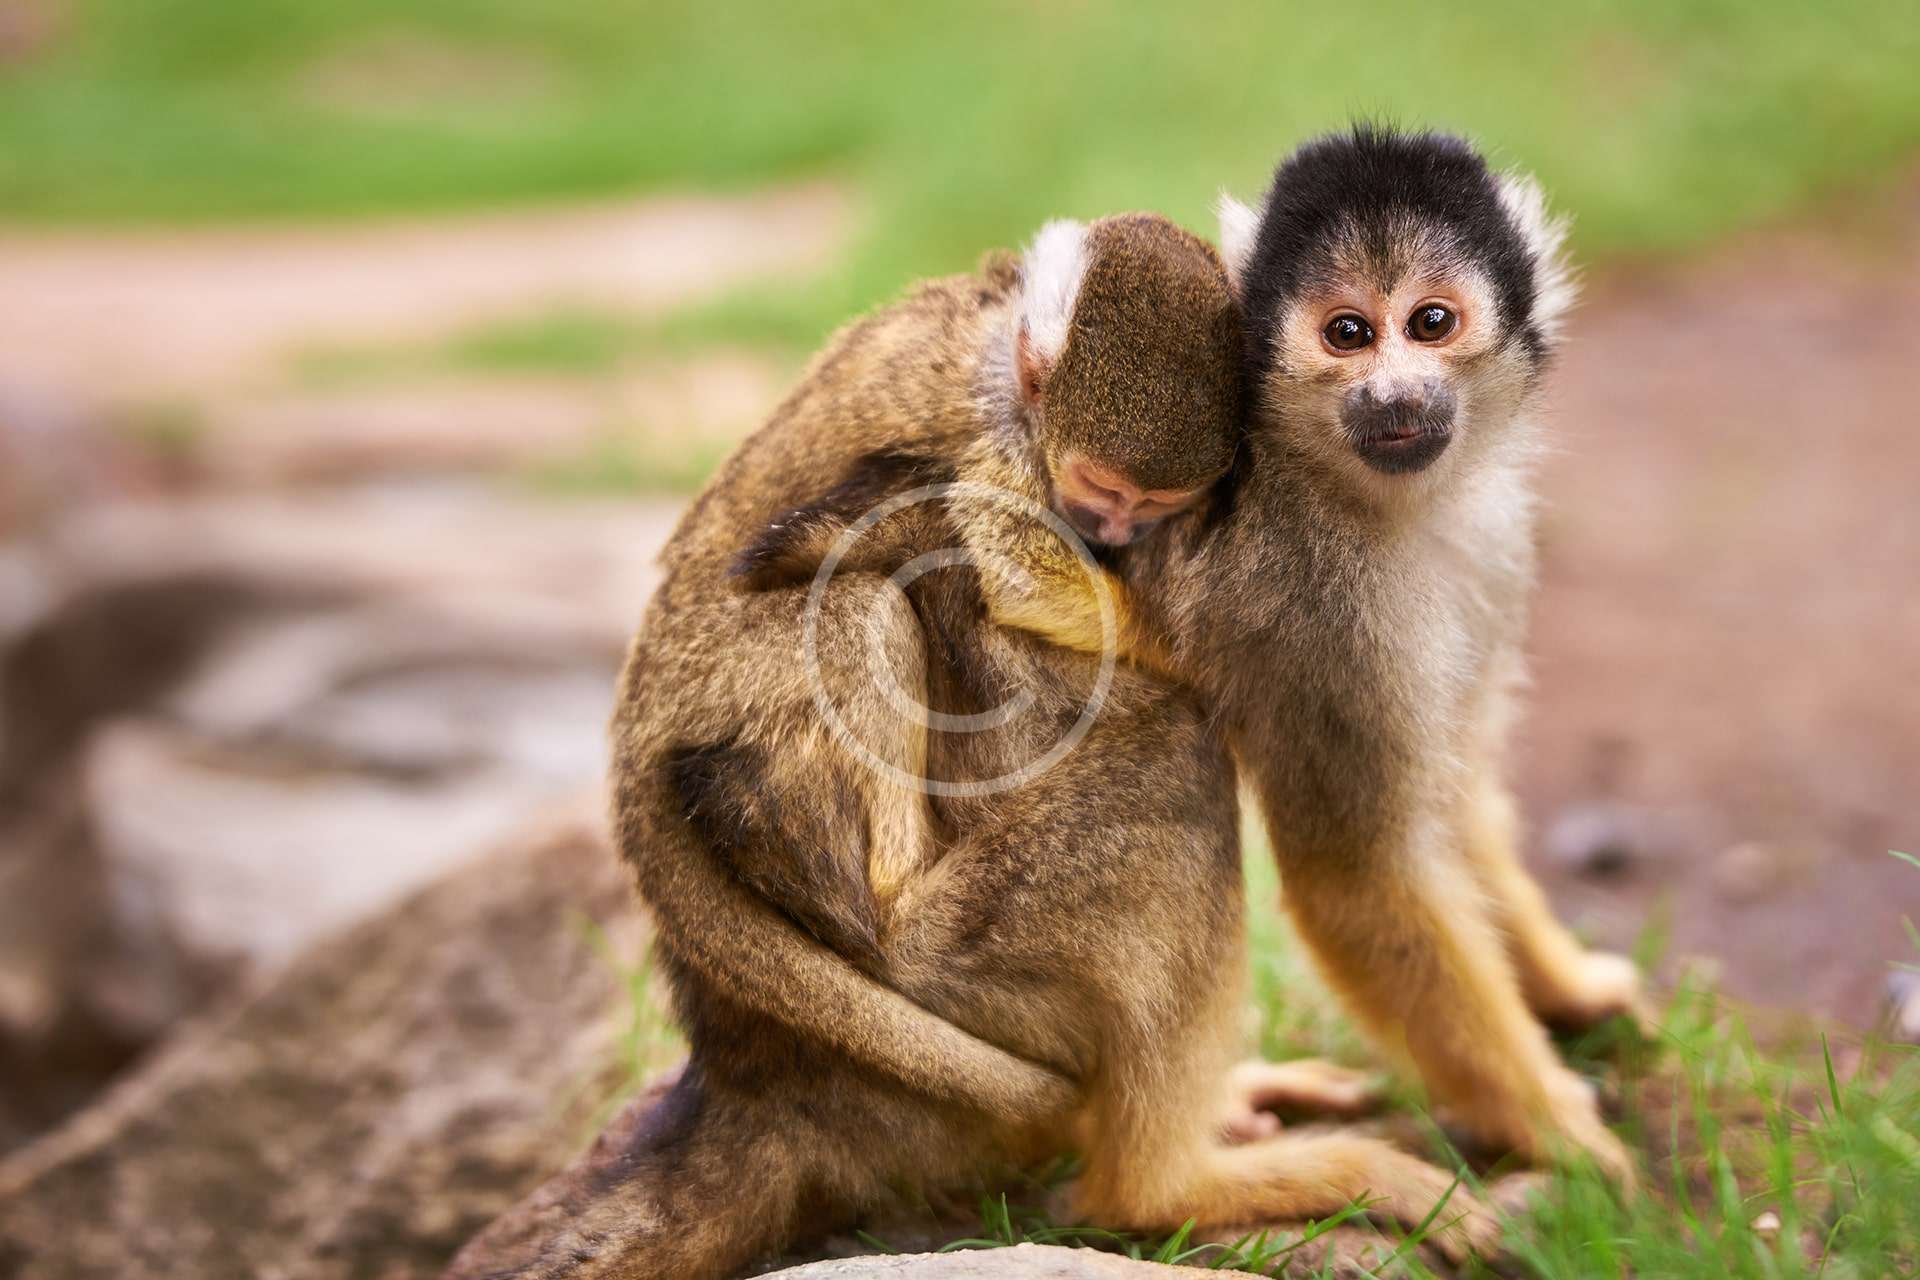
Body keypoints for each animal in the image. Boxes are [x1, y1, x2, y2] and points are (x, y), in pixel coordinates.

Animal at [444, 210, 1501, 1280]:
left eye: (1153, 506)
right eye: (1100, 486)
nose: (1108, 523)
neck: (1010, 346)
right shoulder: (1000, 439)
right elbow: (1018, 566)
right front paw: (1216, 656)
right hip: (734, 705)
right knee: (870, 607)